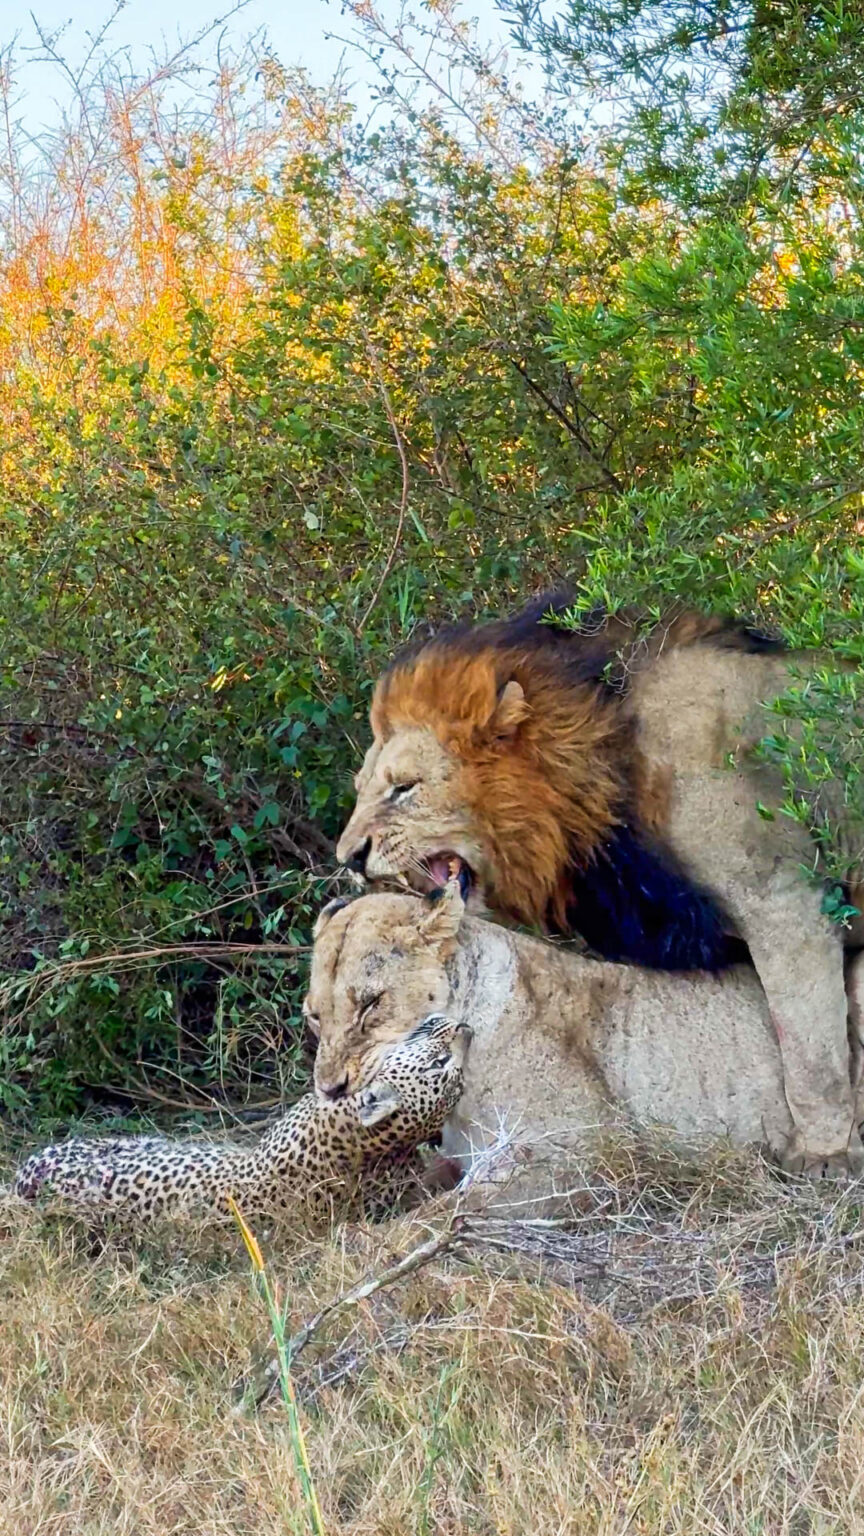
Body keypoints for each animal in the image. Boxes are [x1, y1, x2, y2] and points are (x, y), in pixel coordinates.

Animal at [308, 881, 864, 1208]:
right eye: (314, 1016)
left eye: (370, 1004)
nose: (330, 1090)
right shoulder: (459, 1159)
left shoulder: (588, 1157)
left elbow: (439, 1219)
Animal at [336, 595, 864, 1176]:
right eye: (363, 789)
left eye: (404, 788)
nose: (349, 857)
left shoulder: (783, 903)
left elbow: (813, 1057)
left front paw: (825, 1156)